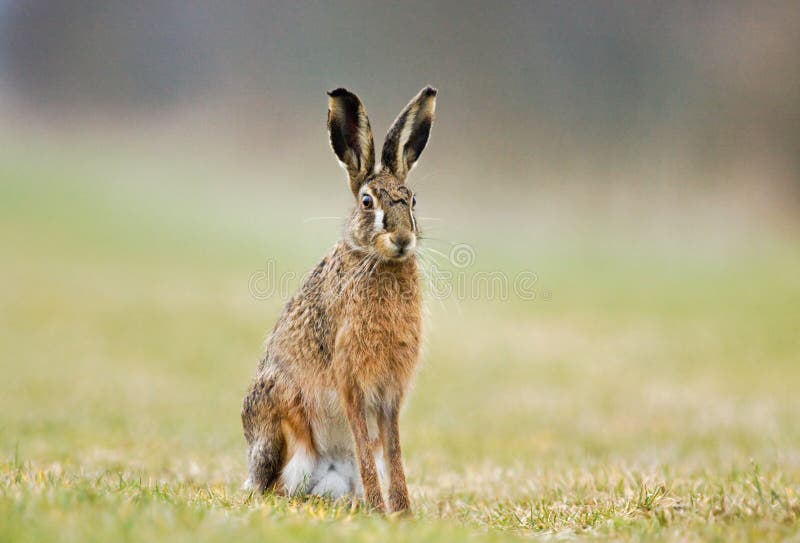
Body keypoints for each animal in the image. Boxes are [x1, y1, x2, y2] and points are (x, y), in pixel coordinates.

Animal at [241, 86, 437, 513]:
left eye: (413, 201)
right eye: (367, 202)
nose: (403, 239)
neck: (377, 261)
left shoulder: (391, 392)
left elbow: (393, 449)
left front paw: (402, 512)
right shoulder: (351, 380)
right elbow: (364, 440)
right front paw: (382, 510)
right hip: (283, 415)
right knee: (276, 486)